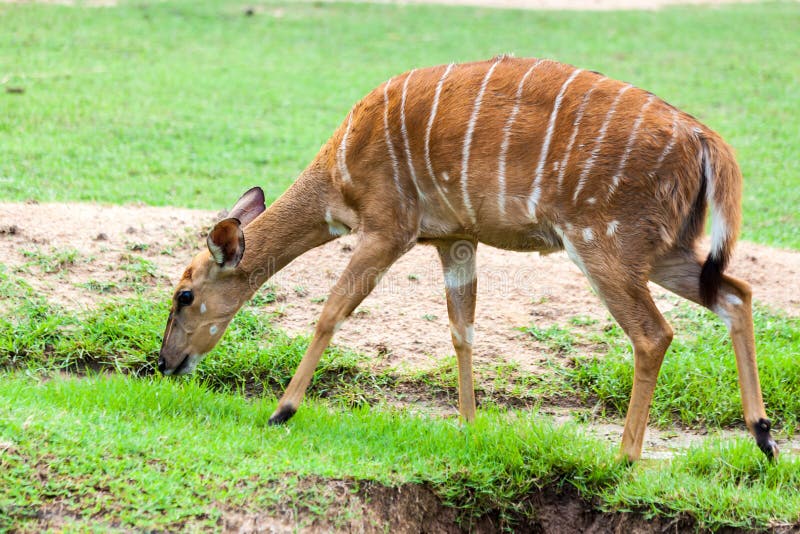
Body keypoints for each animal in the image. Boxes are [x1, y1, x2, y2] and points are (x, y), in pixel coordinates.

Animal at [158, 56, 778, 461]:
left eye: (184, 295)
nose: (166, 364)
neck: (340, 169)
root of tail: (706, 141)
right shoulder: (454, 239)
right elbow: (463, 329)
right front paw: (469, 425)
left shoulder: (388, 228)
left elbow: (332, 311)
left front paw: (282, 411)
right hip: (663, 250)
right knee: (735, 292)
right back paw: (764, 437)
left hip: (605, 243)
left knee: (654, 333)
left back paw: (624, 458)